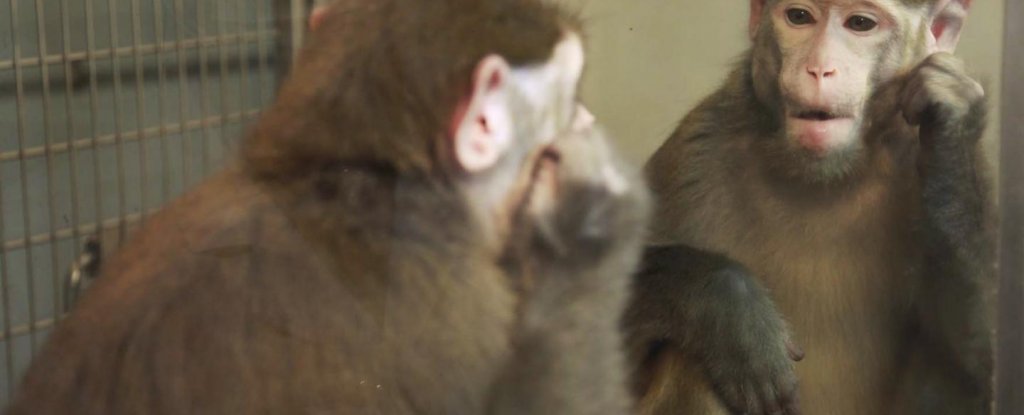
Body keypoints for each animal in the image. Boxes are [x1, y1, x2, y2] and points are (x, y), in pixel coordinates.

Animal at [625, 1, 995, 414]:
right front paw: (729, 307)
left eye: (860, 24)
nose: (819, 68)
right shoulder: (696, 148)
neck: (826, 174)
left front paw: (952, 116)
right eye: (799, 17)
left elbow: (982, 365)